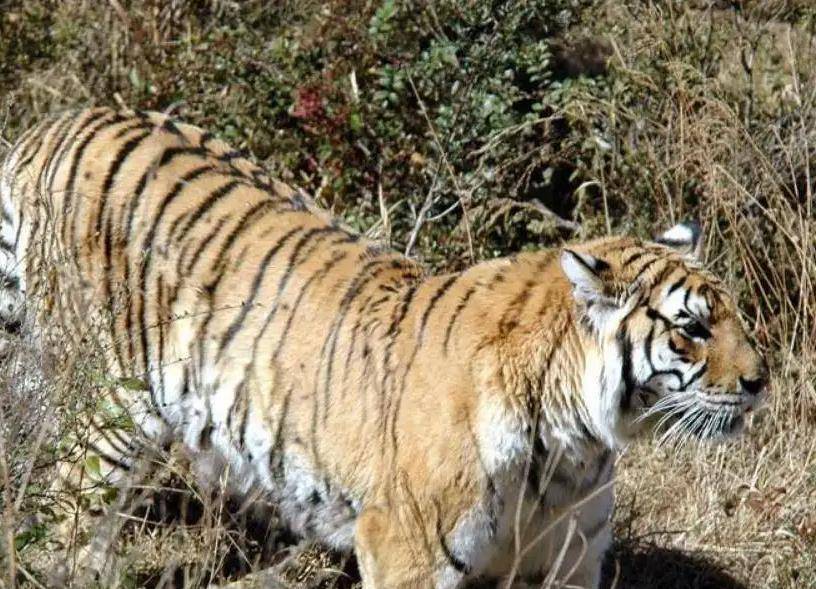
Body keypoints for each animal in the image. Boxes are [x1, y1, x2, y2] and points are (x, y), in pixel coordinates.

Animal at [0, 107, 767, 588]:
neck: (573, 445)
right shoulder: (405, 550)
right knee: (67, 513)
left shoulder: (568, 559)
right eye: (692, 328)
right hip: (105, 410)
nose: (763, 381)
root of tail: (60, 122)